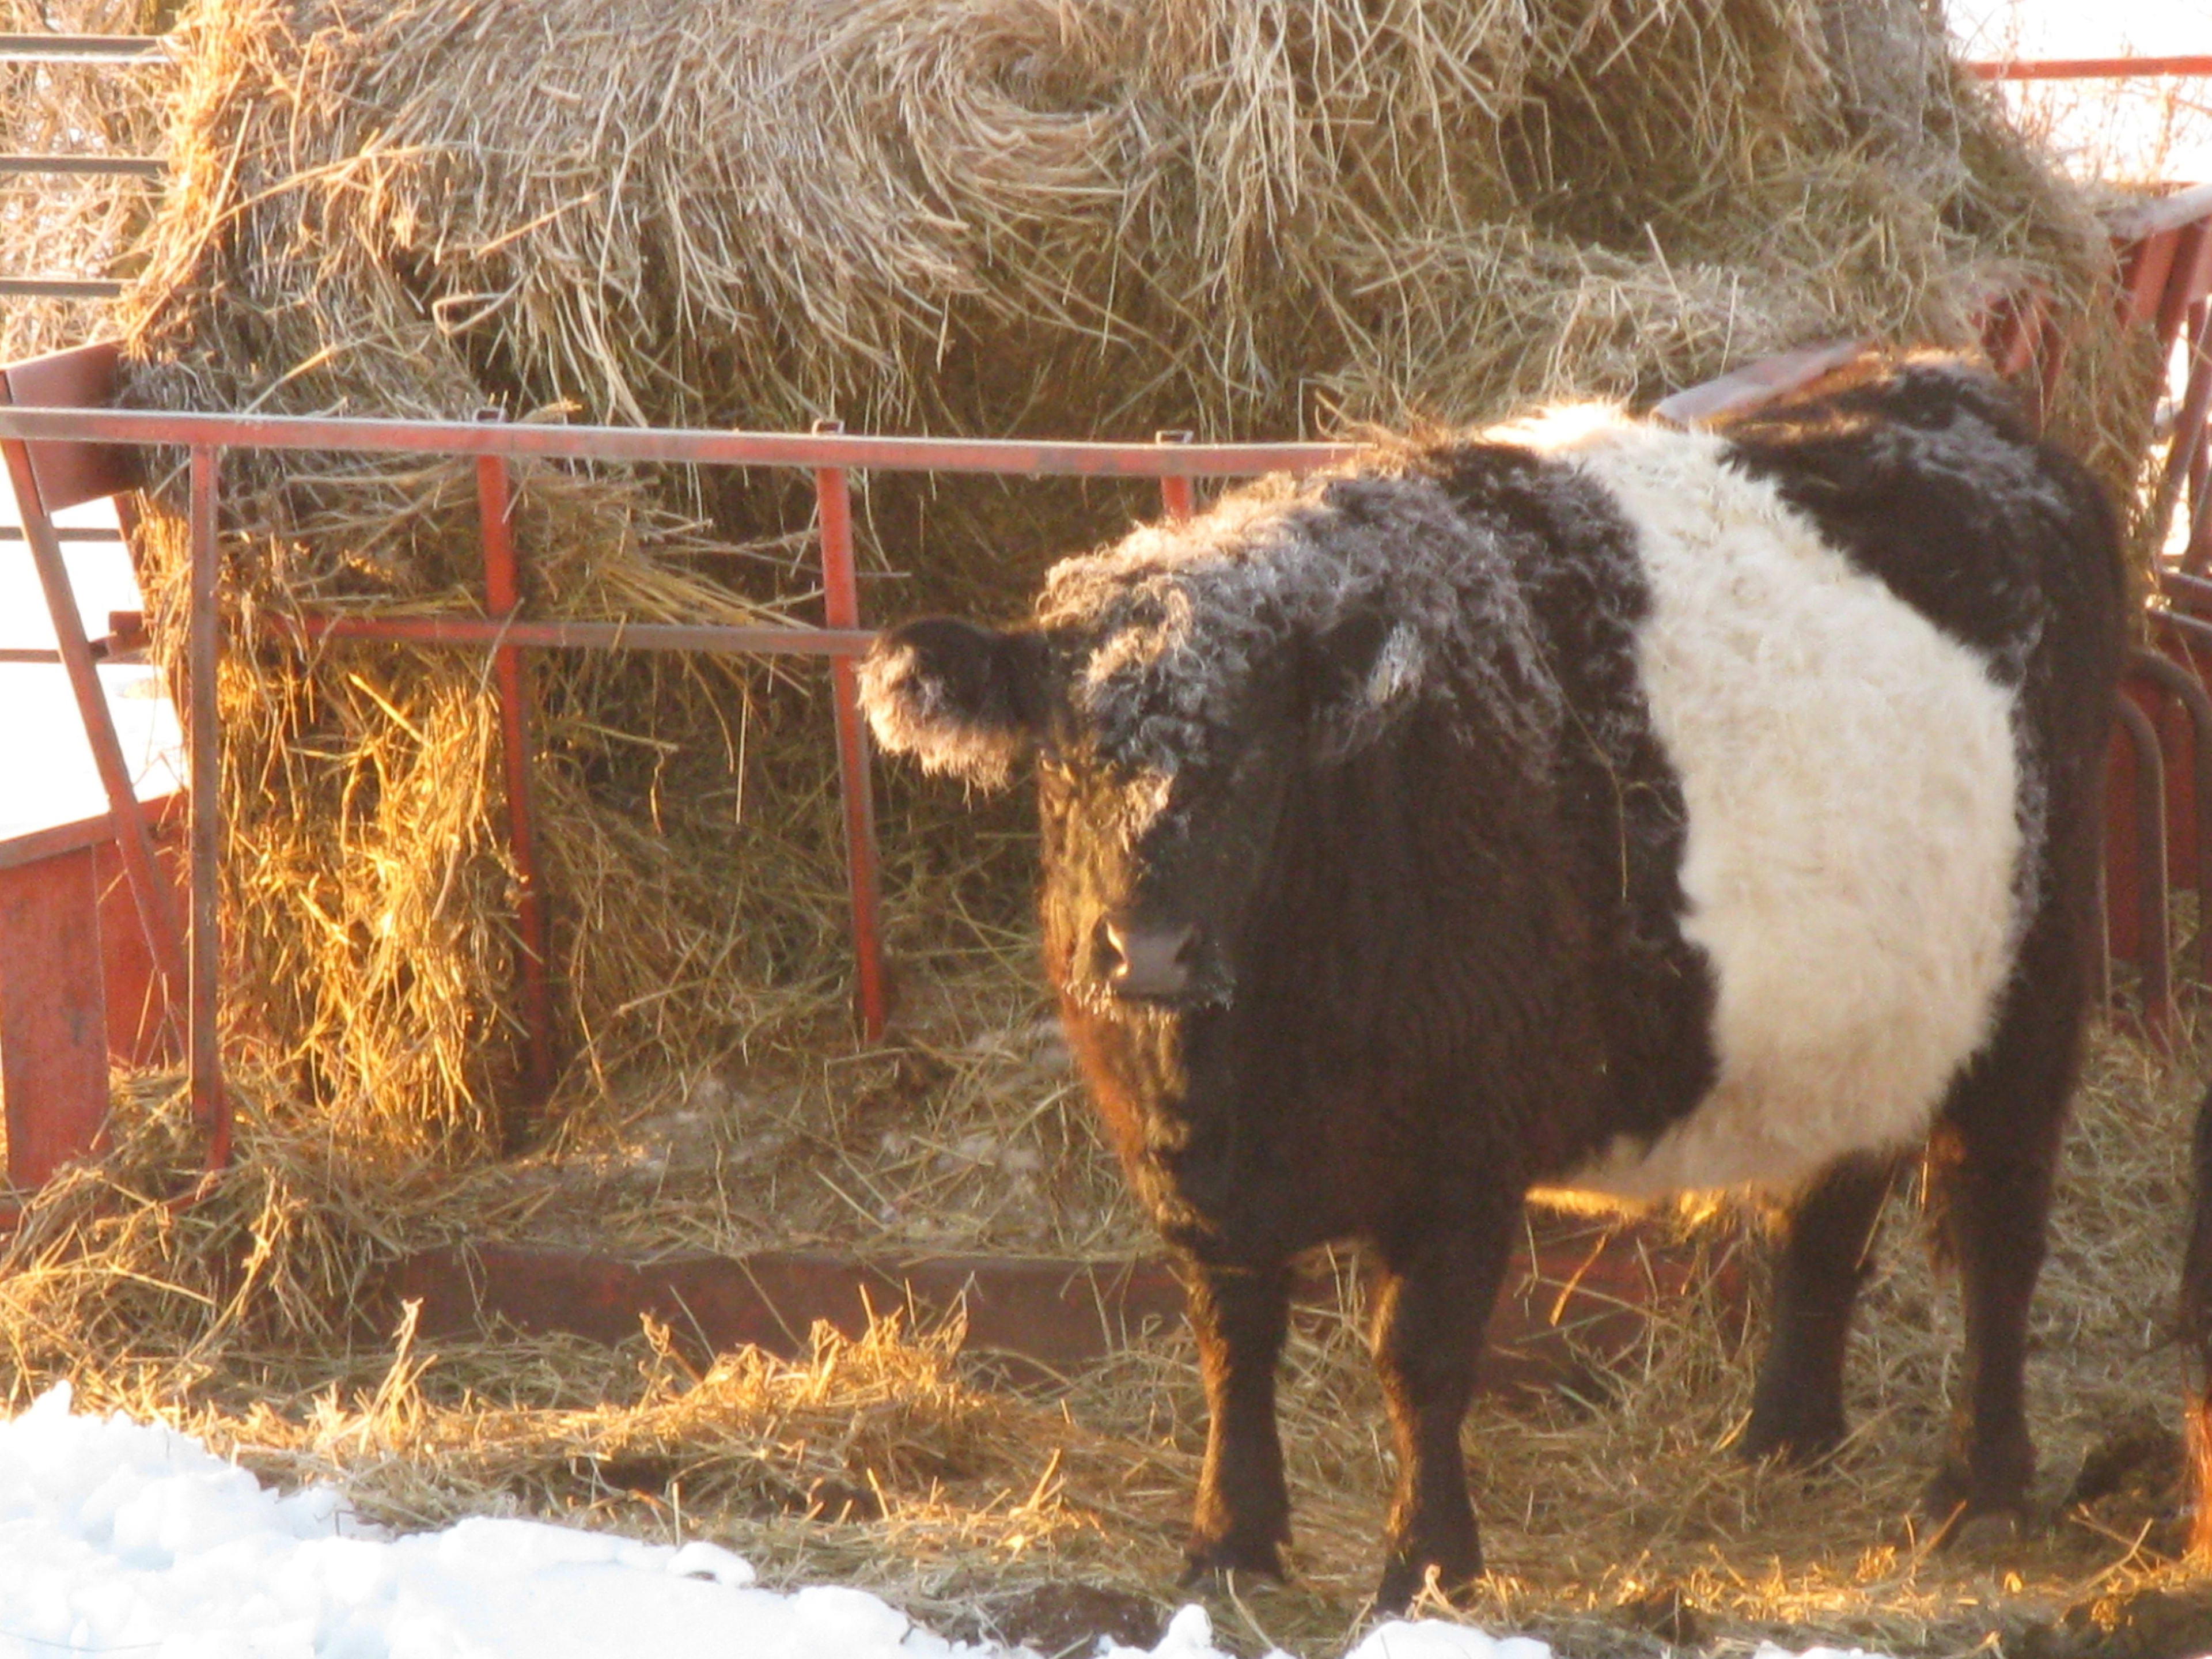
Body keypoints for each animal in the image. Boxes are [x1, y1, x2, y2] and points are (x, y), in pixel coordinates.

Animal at [857, 356, 2125, 1609]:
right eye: (1063, 763)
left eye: (1254, 761)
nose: (1150, 951)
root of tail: (1951, 390)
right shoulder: (1193, 1170)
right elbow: (1235, 1338)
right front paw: (1231, 1543)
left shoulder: (1462, 1158)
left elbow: (1419, 1356)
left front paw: (1427, 1563)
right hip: (1865, 1016)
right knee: (1828, 1212)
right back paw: (1783, 1439)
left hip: (2032, 996)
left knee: (1996, 1230)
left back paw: (1980, 1487)